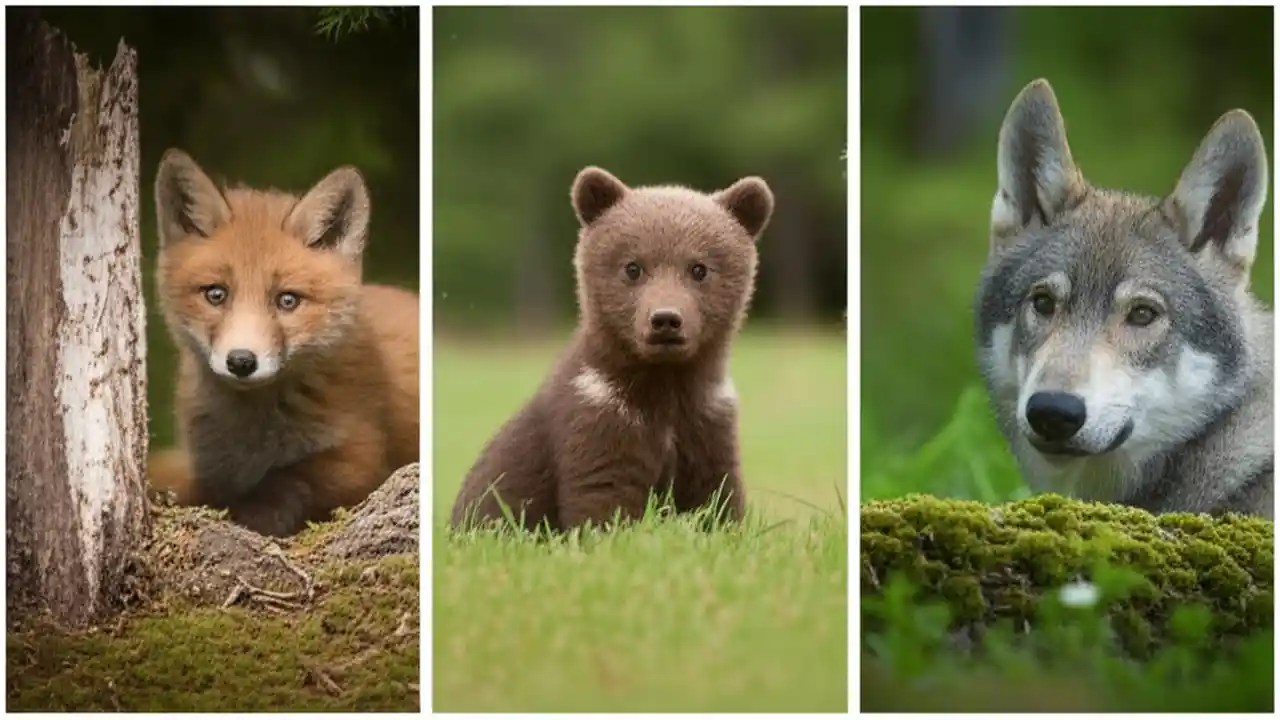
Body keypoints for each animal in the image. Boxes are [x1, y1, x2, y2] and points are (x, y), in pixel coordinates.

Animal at [147, 149, 419, 537]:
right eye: (216, 294)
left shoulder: (362, 456)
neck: (255, 435)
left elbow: (291, 480)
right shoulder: (206, 469)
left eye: (287, 300)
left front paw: (251, 514)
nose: (241, 361)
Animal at [449, 166, 774, 532]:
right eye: (633, 267)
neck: (665, 388)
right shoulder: (597, 415)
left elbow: (717, 496)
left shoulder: (708, 420)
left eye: (699, 268)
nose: (665, 320)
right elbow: (604, 497)